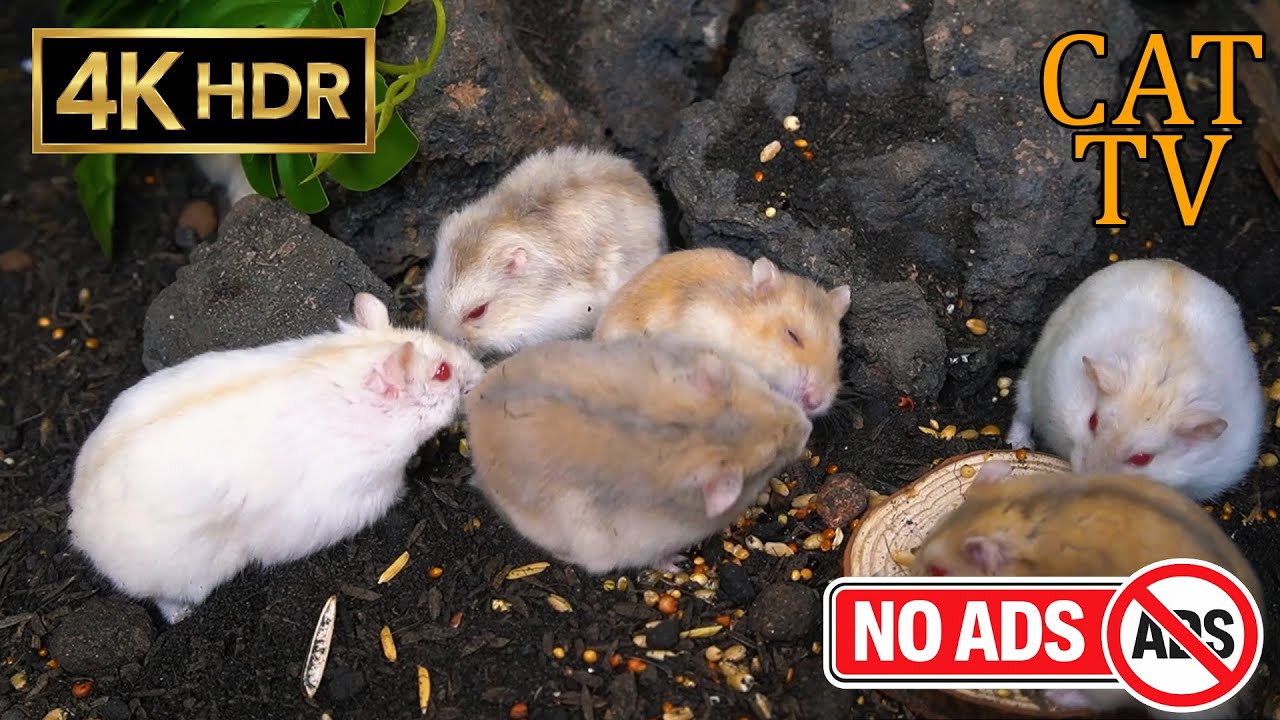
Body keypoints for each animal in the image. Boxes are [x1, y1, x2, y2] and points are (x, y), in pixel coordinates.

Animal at [463, 336, 813, 574]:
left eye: (768, 391)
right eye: (770, 457)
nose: (808, 428)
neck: (687, 431)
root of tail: (473, 417)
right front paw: (677, 564)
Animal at [1006, 258, 1264, 501]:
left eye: (1142, 459)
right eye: (1092, 421)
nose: (1085, 479)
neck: (1158, 381)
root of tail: (1172, 264)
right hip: (1030, 380)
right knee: (1022, 414)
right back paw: (1020, 445)